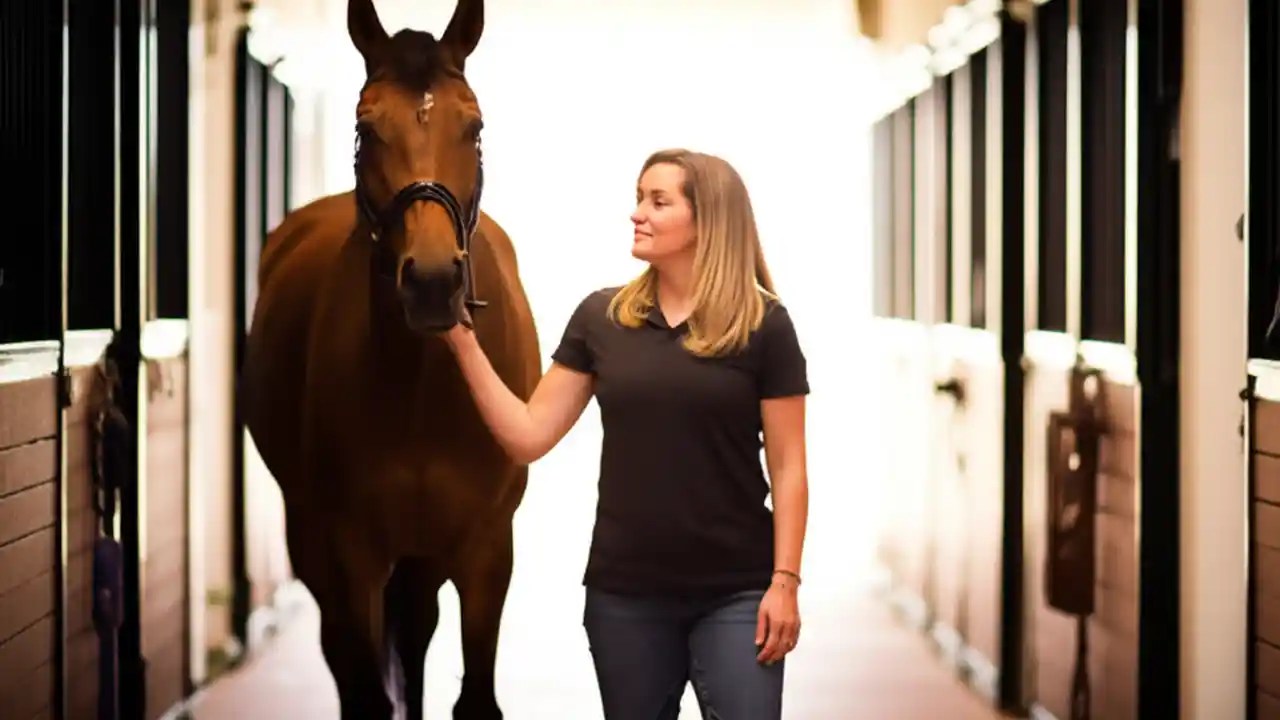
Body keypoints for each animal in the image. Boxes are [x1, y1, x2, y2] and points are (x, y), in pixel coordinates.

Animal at [240, 0, 541, 717]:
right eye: (364, 128)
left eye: (475, 126)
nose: (431, 282)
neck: (421, 393)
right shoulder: (351, 554)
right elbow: (368, 691)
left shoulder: (487, 549)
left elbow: (474, 697)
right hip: (320, 548)